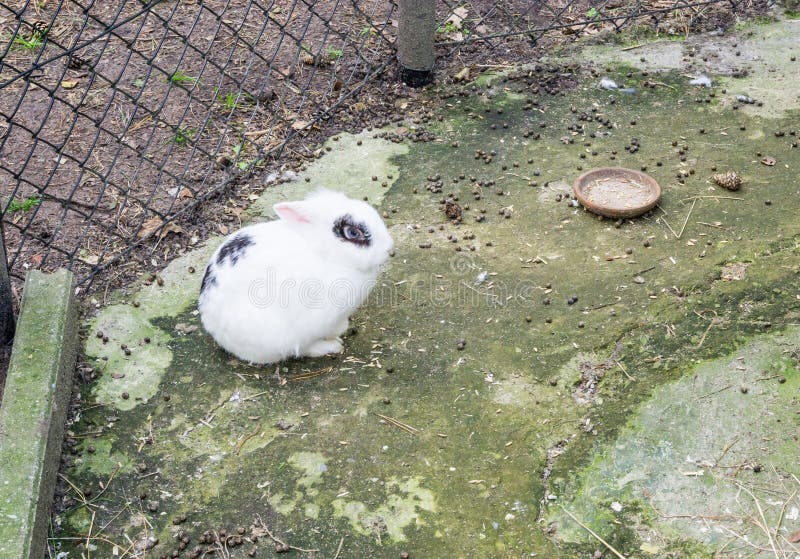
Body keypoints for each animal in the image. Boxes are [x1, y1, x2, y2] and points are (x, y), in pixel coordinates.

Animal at [197, 189, 393, 364]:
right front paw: (339, 334)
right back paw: (332, 347)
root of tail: (211, 326)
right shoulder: (322, 319)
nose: (389, 249)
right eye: (353, 233)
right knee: (300, 349)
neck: (327, 254)